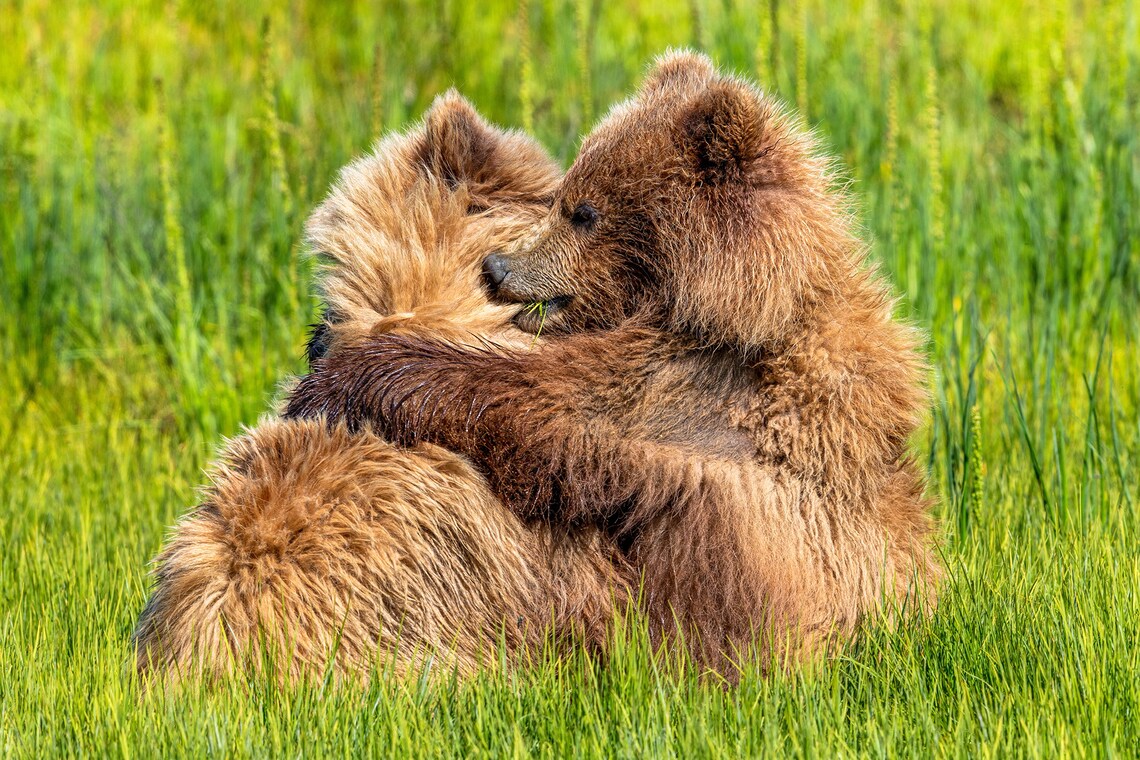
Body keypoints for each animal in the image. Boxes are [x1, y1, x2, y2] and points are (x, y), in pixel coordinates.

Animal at [286, 51, 942, 673]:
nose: (499, 268)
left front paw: (341, 378)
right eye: (563, 198)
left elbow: (539, 399)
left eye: (585, 212)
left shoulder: (698, 388)